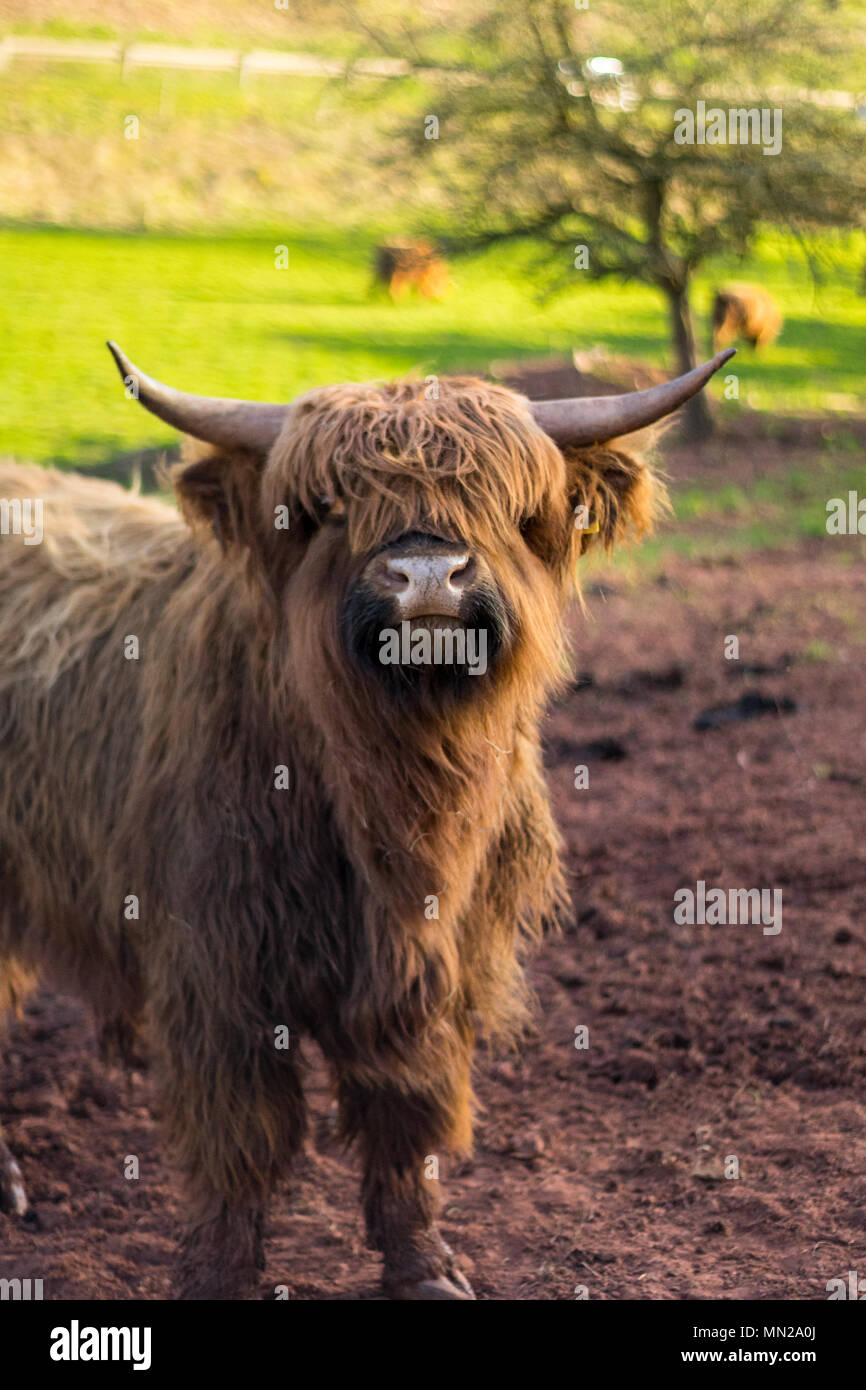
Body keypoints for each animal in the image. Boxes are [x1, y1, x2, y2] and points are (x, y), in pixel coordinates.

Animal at [0, 343, 733, 1298]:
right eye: (330, 509)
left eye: (503, 504)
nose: (426, 575)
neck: (395, 802)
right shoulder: (216, 963)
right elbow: (239, 1135)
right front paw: (218, 1274)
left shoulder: (433, 967)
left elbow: (407, 1118)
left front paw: (424, 1267)